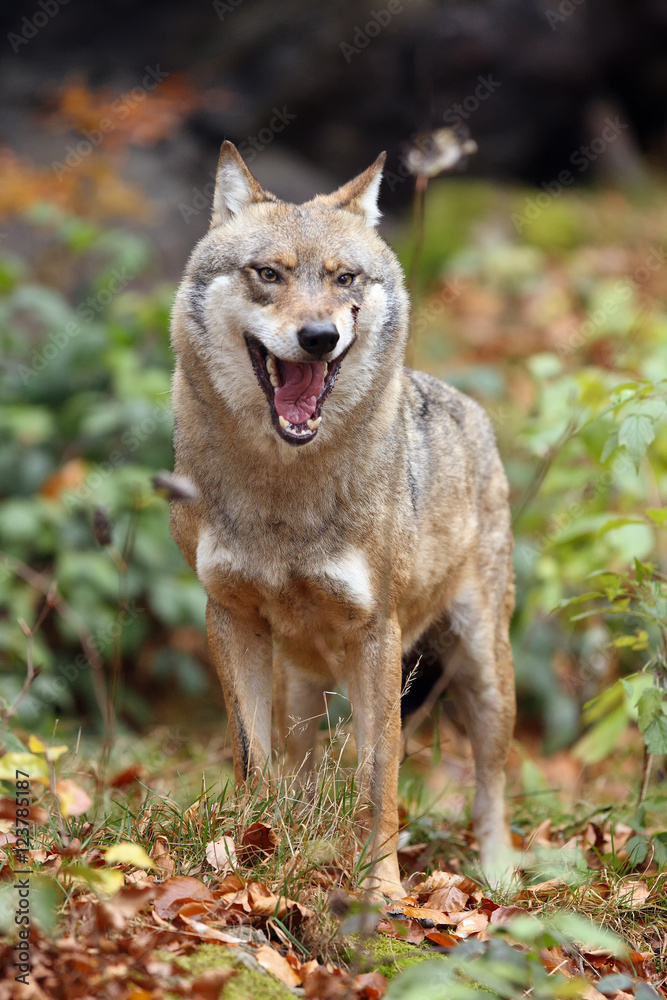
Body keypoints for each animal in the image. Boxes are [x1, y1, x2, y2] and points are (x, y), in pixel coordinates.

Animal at [169, 141, 516, 897]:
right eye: (268, 274)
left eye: (345, 278)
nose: (319, 336)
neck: (283, 492)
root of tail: (472, 410)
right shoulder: (229, 616)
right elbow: (251, 757)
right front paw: (247, 862)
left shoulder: (377, 633)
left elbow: (377, 777)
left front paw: (382, 889)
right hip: (303, 682)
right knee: (300, 763)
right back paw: (299, 838)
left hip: (480, 670)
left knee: (491, 782)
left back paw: (500, 875)